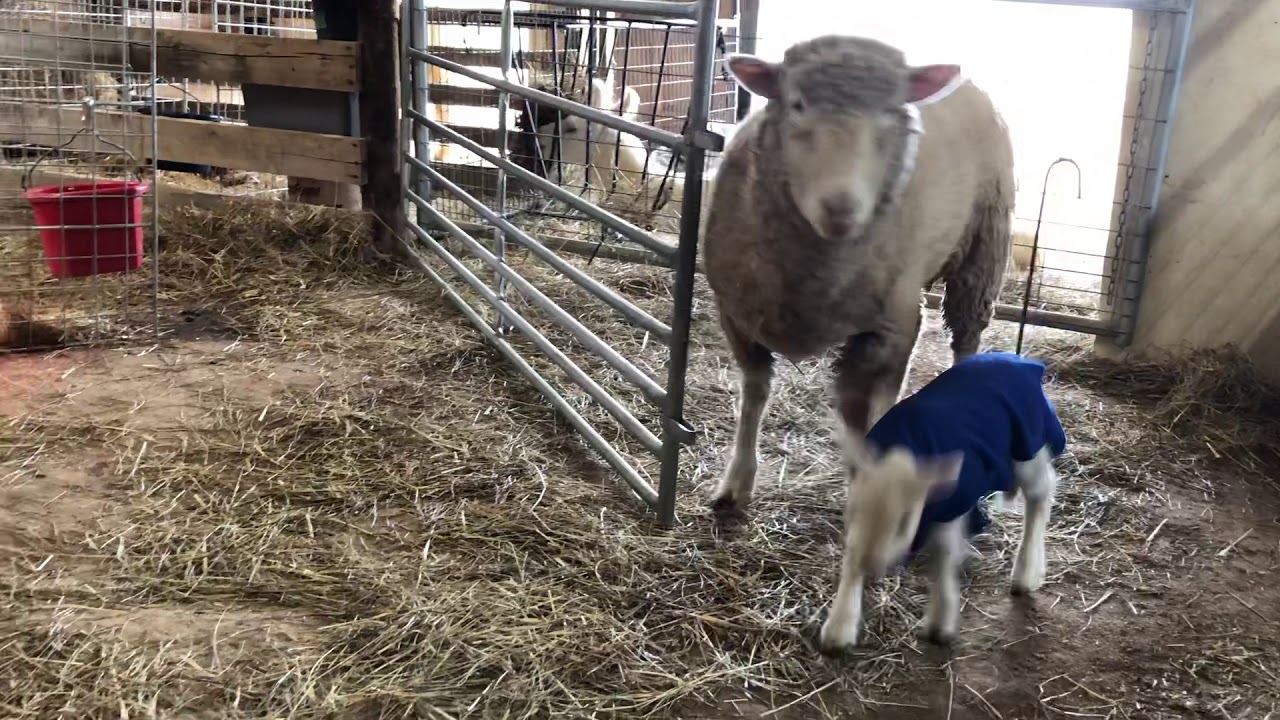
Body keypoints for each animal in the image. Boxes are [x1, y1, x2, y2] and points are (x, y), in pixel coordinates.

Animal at [702, 35, 1016, 513]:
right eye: (797, 103)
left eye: (891, 111)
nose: (841, 209)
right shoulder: (738, 315)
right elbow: (754, 397)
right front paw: (736, 482)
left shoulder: (890, 328)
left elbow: (869, 413)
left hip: (982, 254)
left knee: (966, 339)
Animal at [818, 351, 1067, 652]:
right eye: (852, 510)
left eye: (903, 522)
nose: (872, 567)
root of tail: (1015, 358)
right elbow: (852, 555)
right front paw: (839, 628)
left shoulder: (951, 505)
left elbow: (944, 553)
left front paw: (941, 624)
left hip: (1027, 447)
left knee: (1041, 493)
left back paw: (1026, 573)